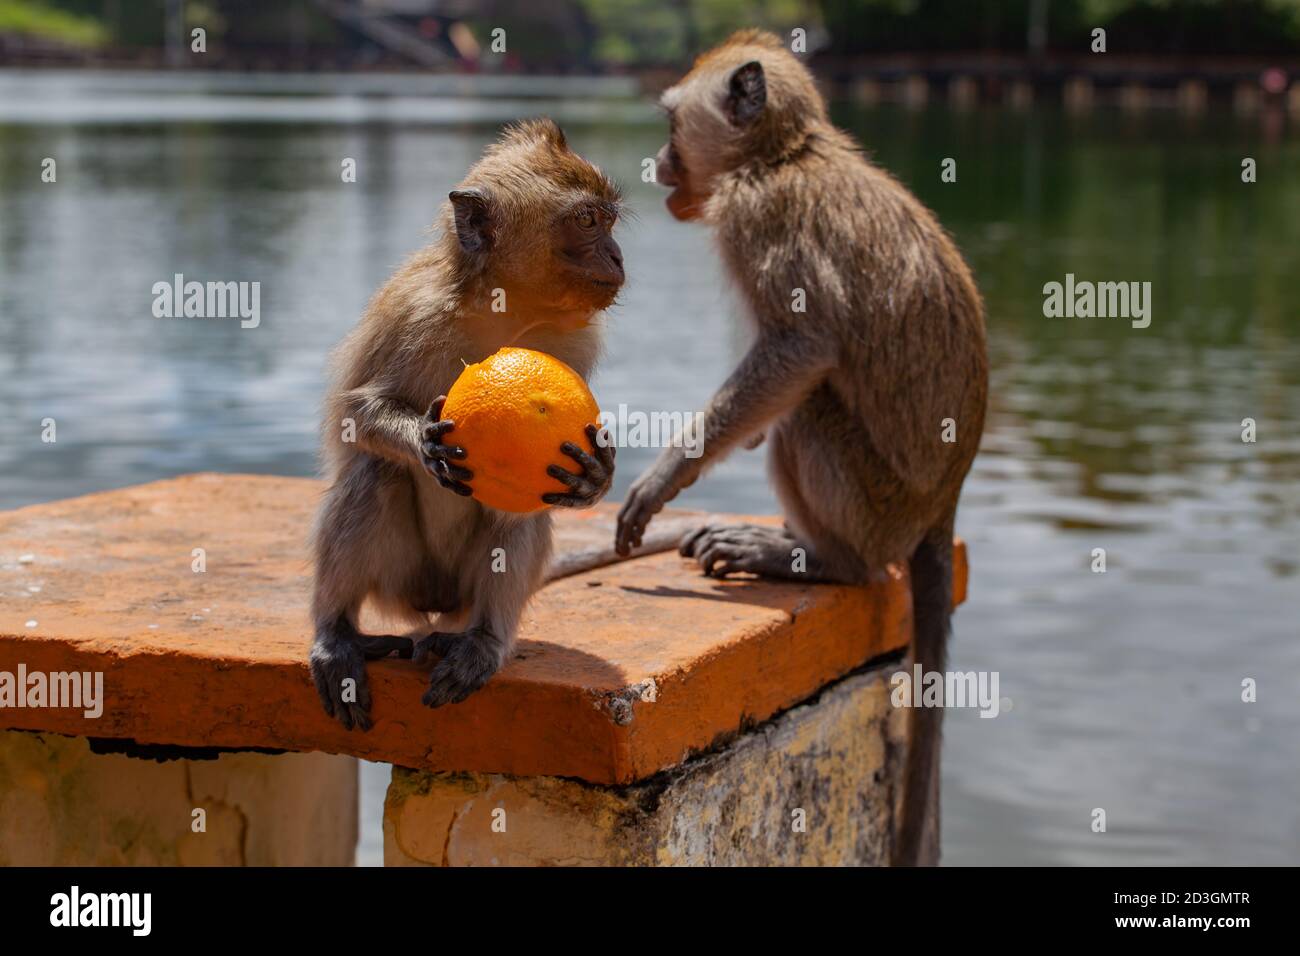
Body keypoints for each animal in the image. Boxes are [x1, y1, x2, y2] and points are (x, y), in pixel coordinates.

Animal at [310, 119, 637, 733]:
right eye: (587, 221)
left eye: (607, 222)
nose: (617, 255)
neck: (500, 307)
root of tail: (434, 602)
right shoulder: (414, 314)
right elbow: (357, 417)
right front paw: (420, 440)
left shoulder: (575, 343)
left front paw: (596, 476)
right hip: (399, 578)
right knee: (374, 472)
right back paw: (337, 635)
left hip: (461, 590)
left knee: (520, 506)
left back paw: (483, 641)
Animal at [614, 30, 989, 866]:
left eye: (672, 123)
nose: (658, 161)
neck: (784, 155)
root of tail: (942, 505)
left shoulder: (760, 218)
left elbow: (801, 349)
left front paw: (665, 476)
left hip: (878, 506)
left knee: (813, 412)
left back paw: (823, 560)